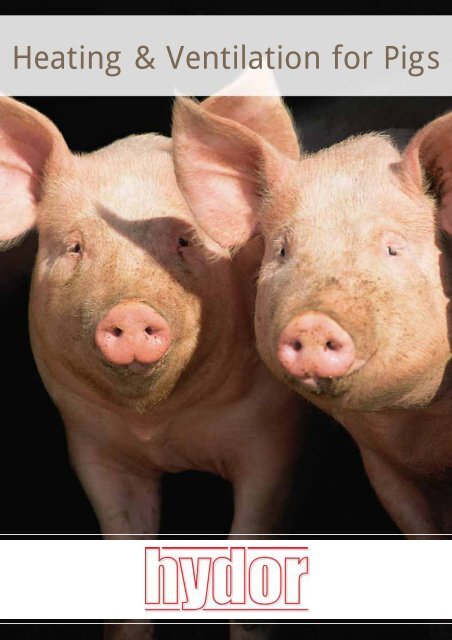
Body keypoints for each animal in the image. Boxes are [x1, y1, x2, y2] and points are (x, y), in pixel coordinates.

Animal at [0, 88, 305, 553]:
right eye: (74, 246)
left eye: (185, 241)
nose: (130, 311)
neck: (158, 427)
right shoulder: (93, 446)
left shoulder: (272, 435)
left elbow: (254, 522)